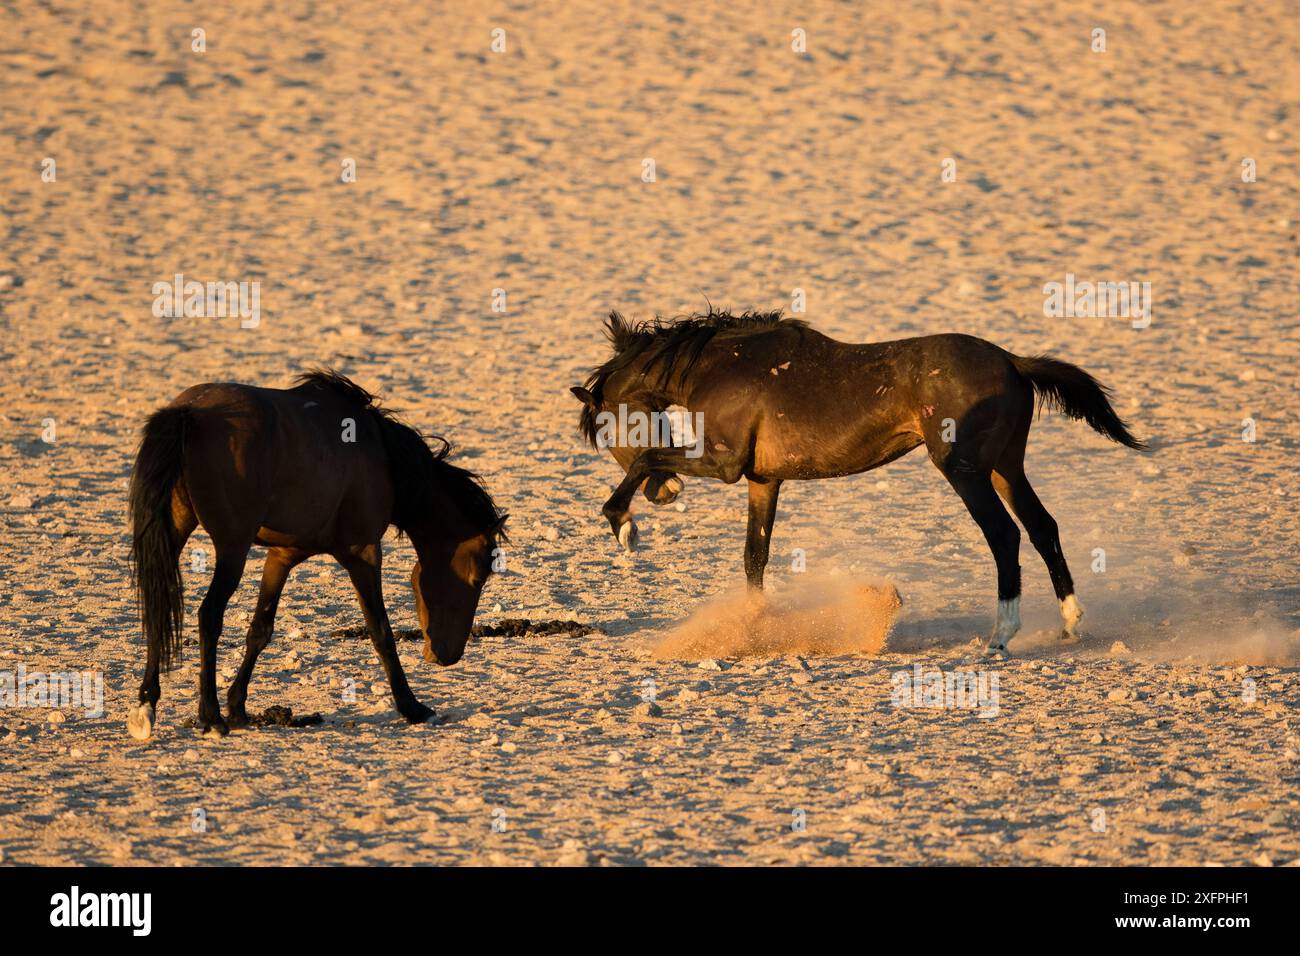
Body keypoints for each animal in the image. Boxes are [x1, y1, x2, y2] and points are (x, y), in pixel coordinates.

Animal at [127, 369, 506, 739]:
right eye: (478, 577)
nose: (449, 657)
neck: (379, 453)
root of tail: (190, 411)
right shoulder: (363, 554)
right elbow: (380, 630)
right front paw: (411, 706)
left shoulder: (282, 556)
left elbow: (260, 630)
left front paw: (238, 707)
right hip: (232, 549)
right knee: (208, 616)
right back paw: (210, 716)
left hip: (175, 533)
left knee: (158, 604)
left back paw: (148, 705)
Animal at [571, 309, 1145, 656]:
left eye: (608, 428)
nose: (664, 495)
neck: (719, 367)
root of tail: (1011, 361)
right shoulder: (762, 481)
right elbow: (755, 556)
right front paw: (753, 627)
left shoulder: (723, 464)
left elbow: (647, 457)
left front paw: (624, 525)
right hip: (1006, 467)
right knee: (1043, 528)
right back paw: (1069, 623)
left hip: (964, 471)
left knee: (1005, 536)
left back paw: (1001, 636)